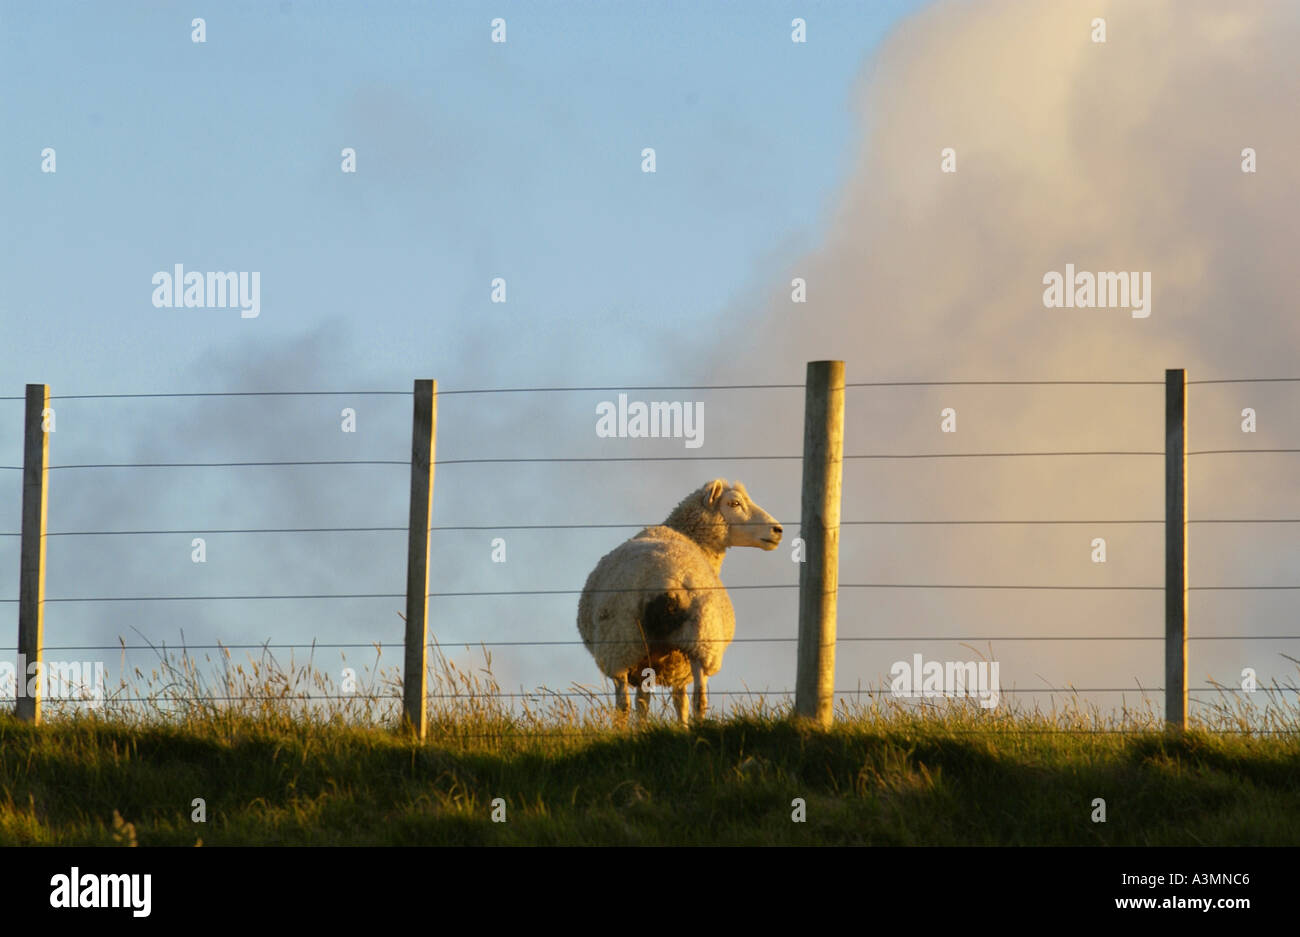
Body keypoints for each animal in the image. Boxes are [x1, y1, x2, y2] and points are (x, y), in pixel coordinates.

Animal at [577, 478, 782, 724]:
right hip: (695, 641)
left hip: (625, 643)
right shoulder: (676, 662)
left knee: (625, 705)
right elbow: (675, 702)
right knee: (697, 700)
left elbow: (646, 703)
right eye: (734, 503)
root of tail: (662, 577)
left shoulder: (656, 660)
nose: (778, 530)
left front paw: (644, 728)